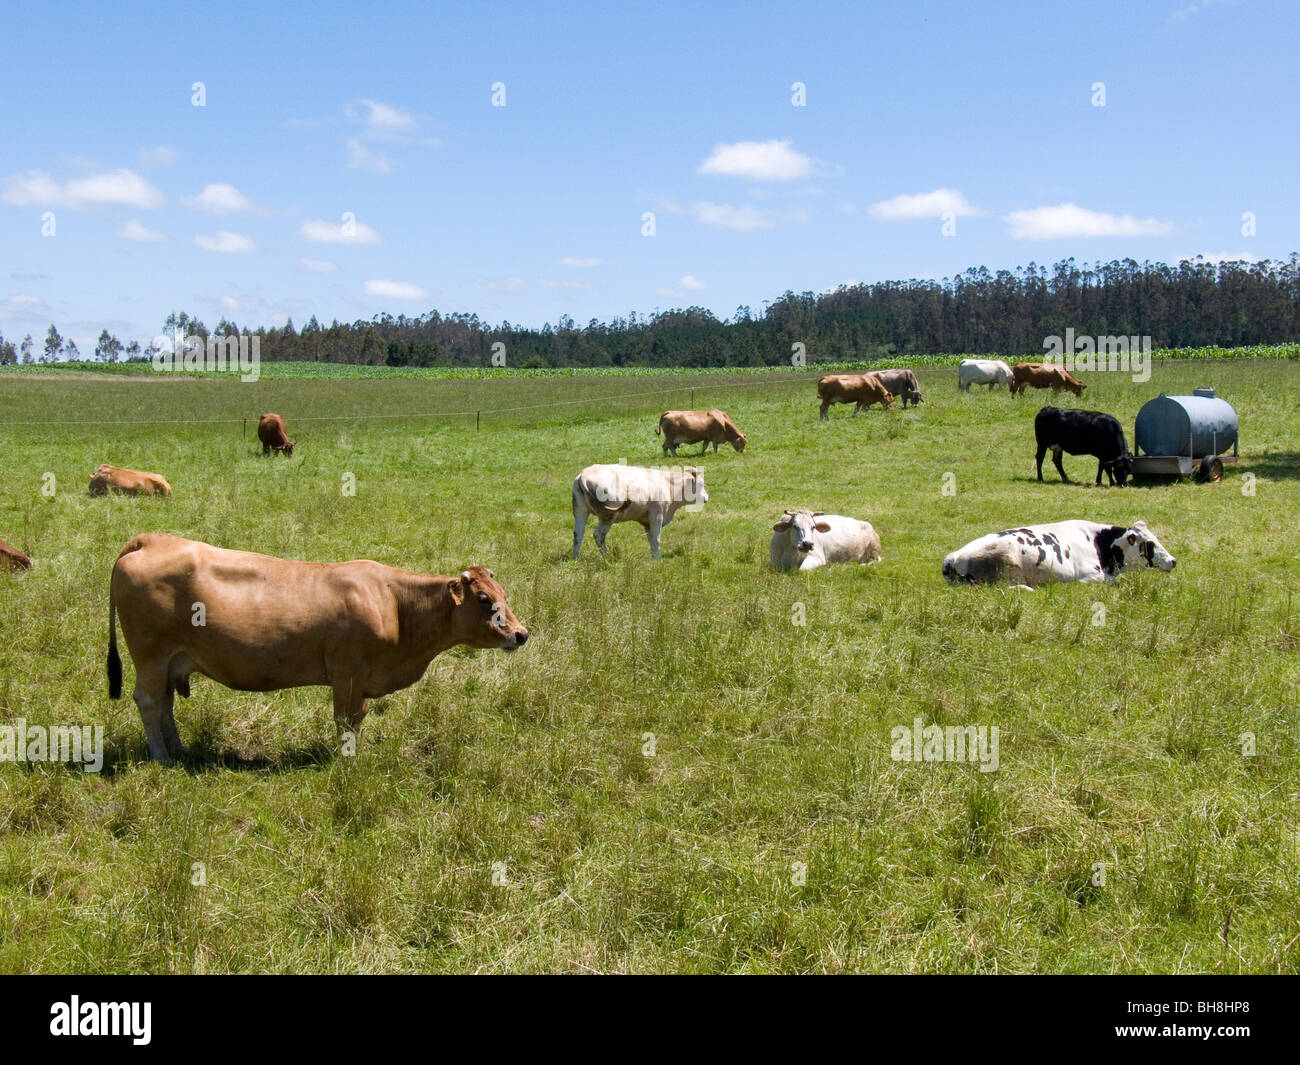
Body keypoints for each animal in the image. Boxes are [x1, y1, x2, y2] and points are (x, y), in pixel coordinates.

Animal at [106, 533, 528, 765]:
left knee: (164, 702)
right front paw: (346, 759)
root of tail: (150, 540)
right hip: (151, 656)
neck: (393, 602)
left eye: (503, 595)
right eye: (485, 601)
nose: (521, 634)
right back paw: (162, 756)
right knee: (149, 700)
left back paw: (178, 749)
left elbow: (357, 718)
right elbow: (347, 719)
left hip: (170, 661)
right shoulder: (348, 673)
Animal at [572, 463, 707, 559]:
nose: (707, 497)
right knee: (599, 535)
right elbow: (656, 538)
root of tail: (585, 474)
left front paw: (653, 557)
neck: (668, 485)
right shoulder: (657, 515)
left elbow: (651, 539)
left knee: (578, 534)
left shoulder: (646, 521)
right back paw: (607, 556)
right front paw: (658, 557)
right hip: (607, 515)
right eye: (701, 484)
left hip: (580, 512)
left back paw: (575, 558)